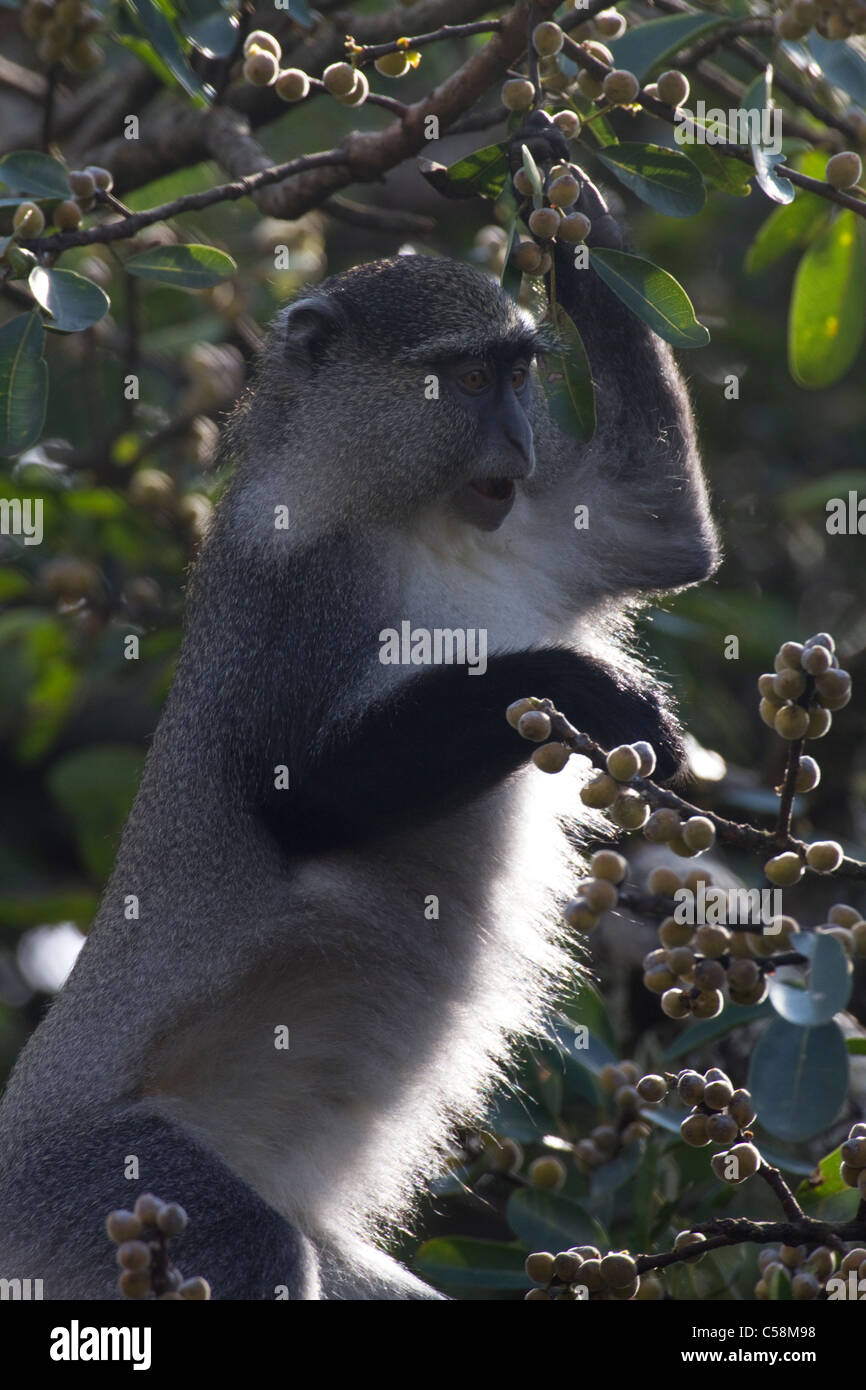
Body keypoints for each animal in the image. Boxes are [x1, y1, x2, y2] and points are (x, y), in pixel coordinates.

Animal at [0, 123, 718, 1299]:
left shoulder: (539, 525)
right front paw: (580, 688)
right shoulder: (291, 582)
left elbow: (662, 526)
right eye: (463, 377)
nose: (517, 447)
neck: (417, 515)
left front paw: (562, 190)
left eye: (519, 372)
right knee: (249, 1242)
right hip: (100, 1190)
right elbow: (302, 801)